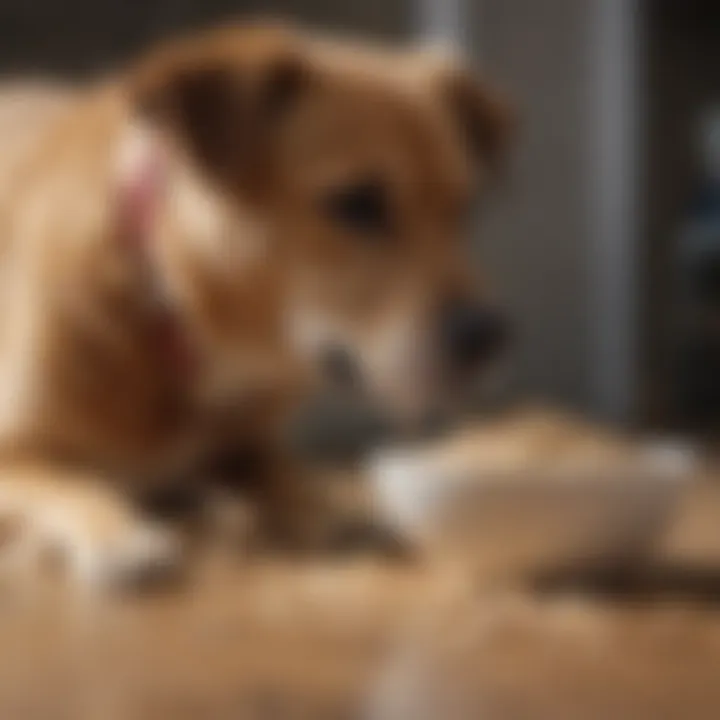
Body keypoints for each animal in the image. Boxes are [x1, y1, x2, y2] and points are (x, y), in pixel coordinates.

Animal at [0, 21, 512, 592]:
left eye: (463, 208)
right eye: (358, 203)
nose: (489, 336)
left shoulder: (246, 445)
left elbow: (278, 471)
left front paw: (323, 507)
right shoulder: (14, 449)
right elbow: (72, 483)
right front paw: (115, 534)